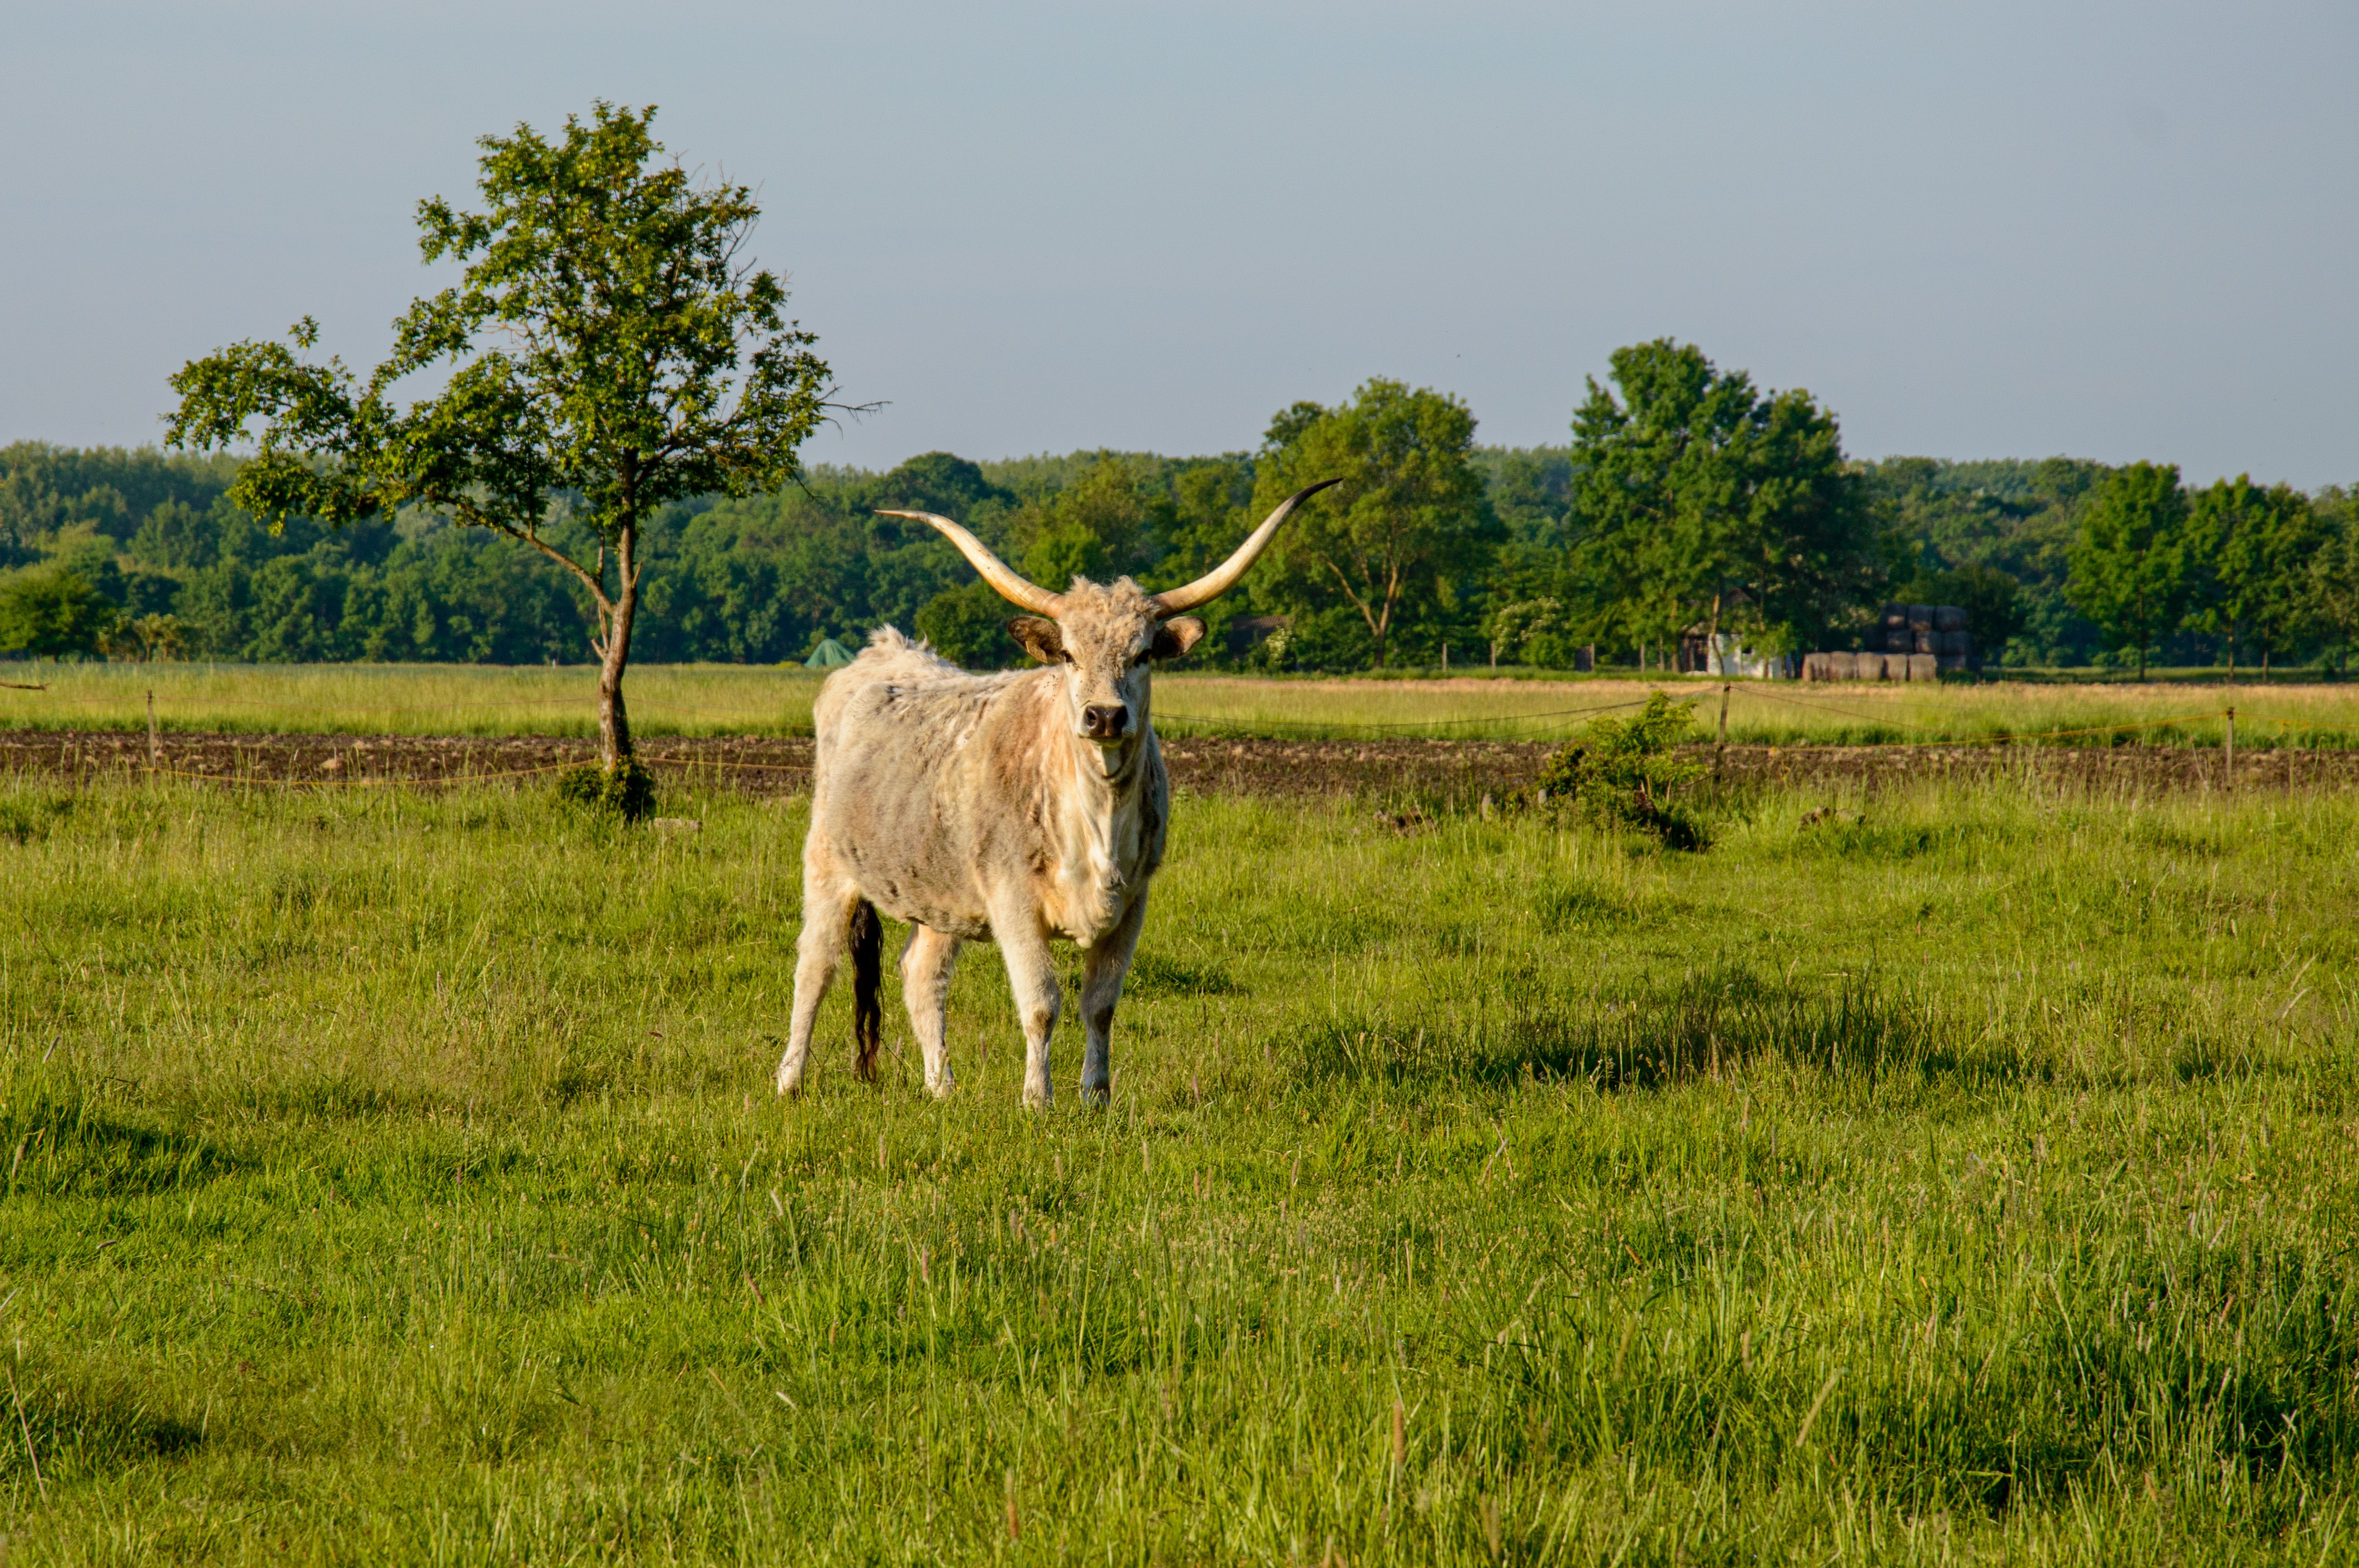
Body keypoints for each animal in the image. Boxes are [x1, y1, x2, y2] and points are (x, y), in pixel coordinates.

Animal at [773, 480, 1339, 1107]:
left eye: (1143, 653)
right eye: (1068, 654)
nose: (1104, 715)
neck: (1097, 819)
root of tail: (885, 649)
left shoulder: (1132, 903)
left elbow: (1101, 1006)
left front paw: (1096, 1097)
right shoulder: (1013, 900)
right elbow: (1042, 1004)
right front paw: (1037, 1099)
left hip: (939, 888)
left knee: (921, 975)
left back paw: (941, 1087)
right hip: (827, 866)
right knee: (814, 968)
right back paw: (790, 1081)